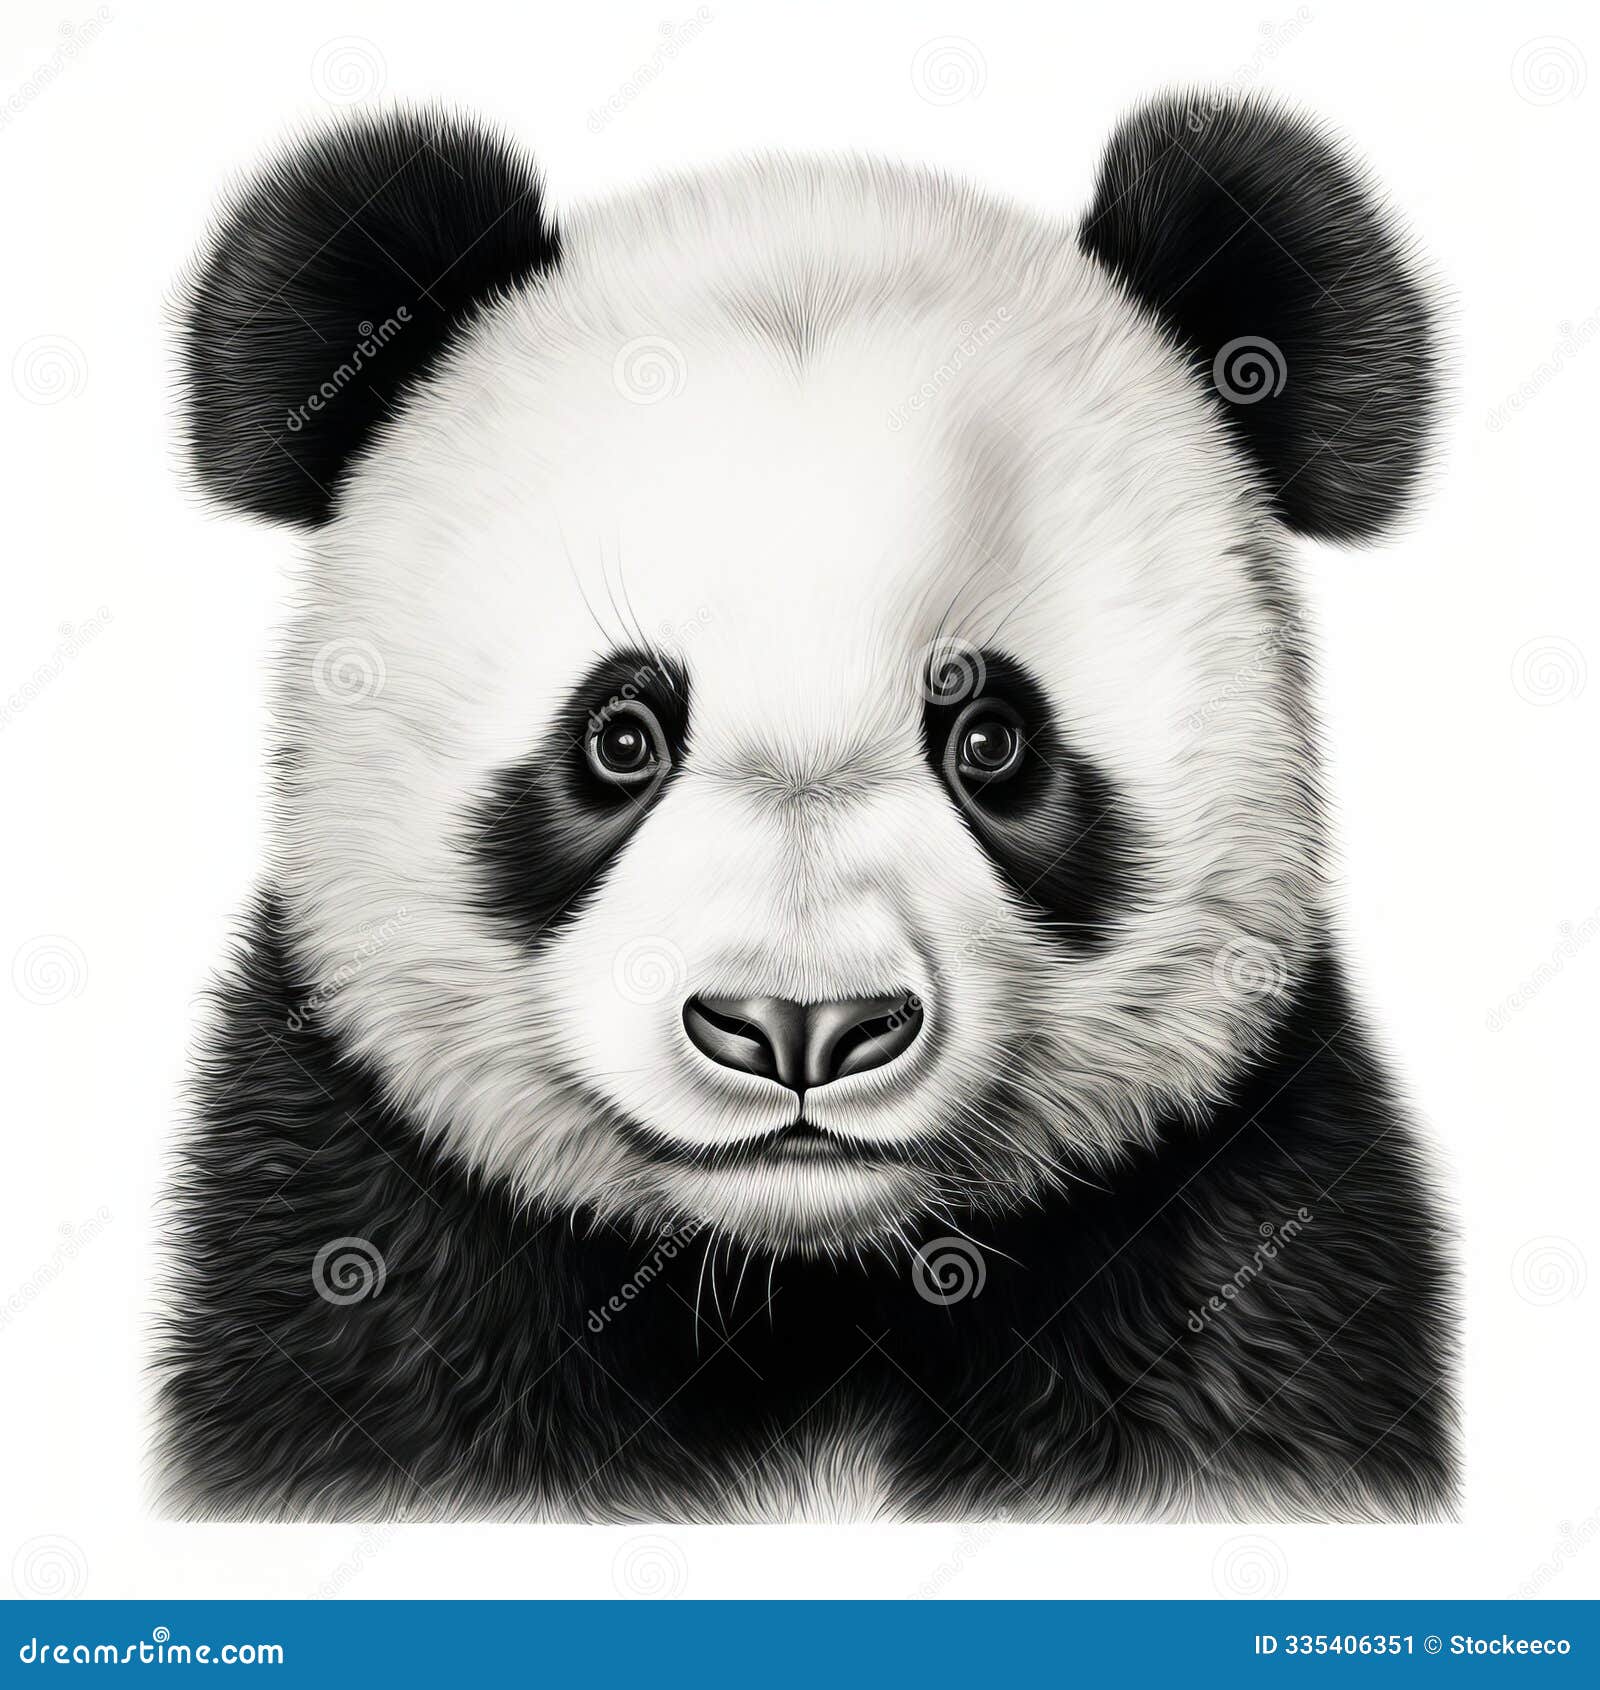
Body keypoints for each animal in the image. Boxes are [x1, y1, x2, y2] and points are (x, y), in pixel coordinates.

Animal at [159, 92, 1456, 1522]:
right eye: (620, 738)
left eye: (990, 739)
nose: (801, 1027)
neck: (797, 1296)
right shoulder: (361, 1246)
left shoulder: (1238, 1237)